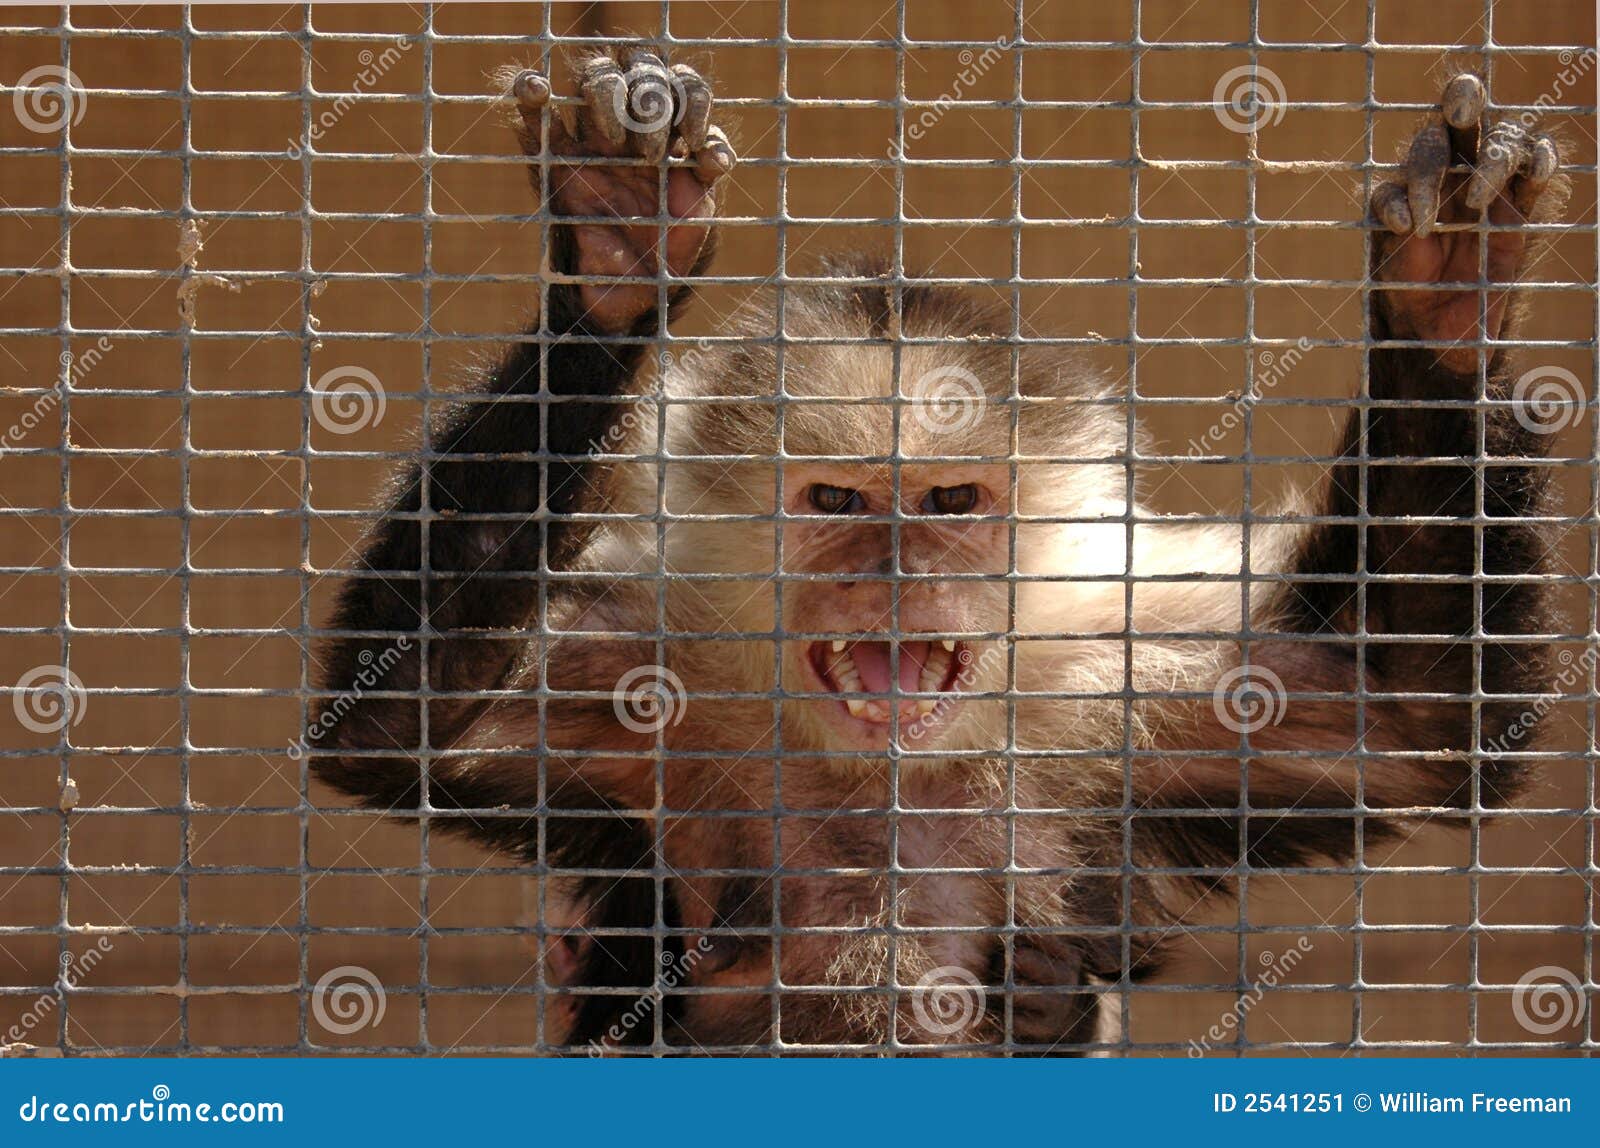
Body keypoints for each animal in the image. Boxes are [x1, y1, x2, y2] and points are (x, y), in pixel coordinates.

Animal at [308, 49, 1568, 1054]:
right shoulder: (638, 671)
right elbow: (392, 725)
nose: (898, 569)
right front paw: (616, 247)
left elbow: (1407, 711)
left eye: (949, 498)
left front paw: (1448, 295)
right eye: (838, 498)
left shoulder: (1116, 667)